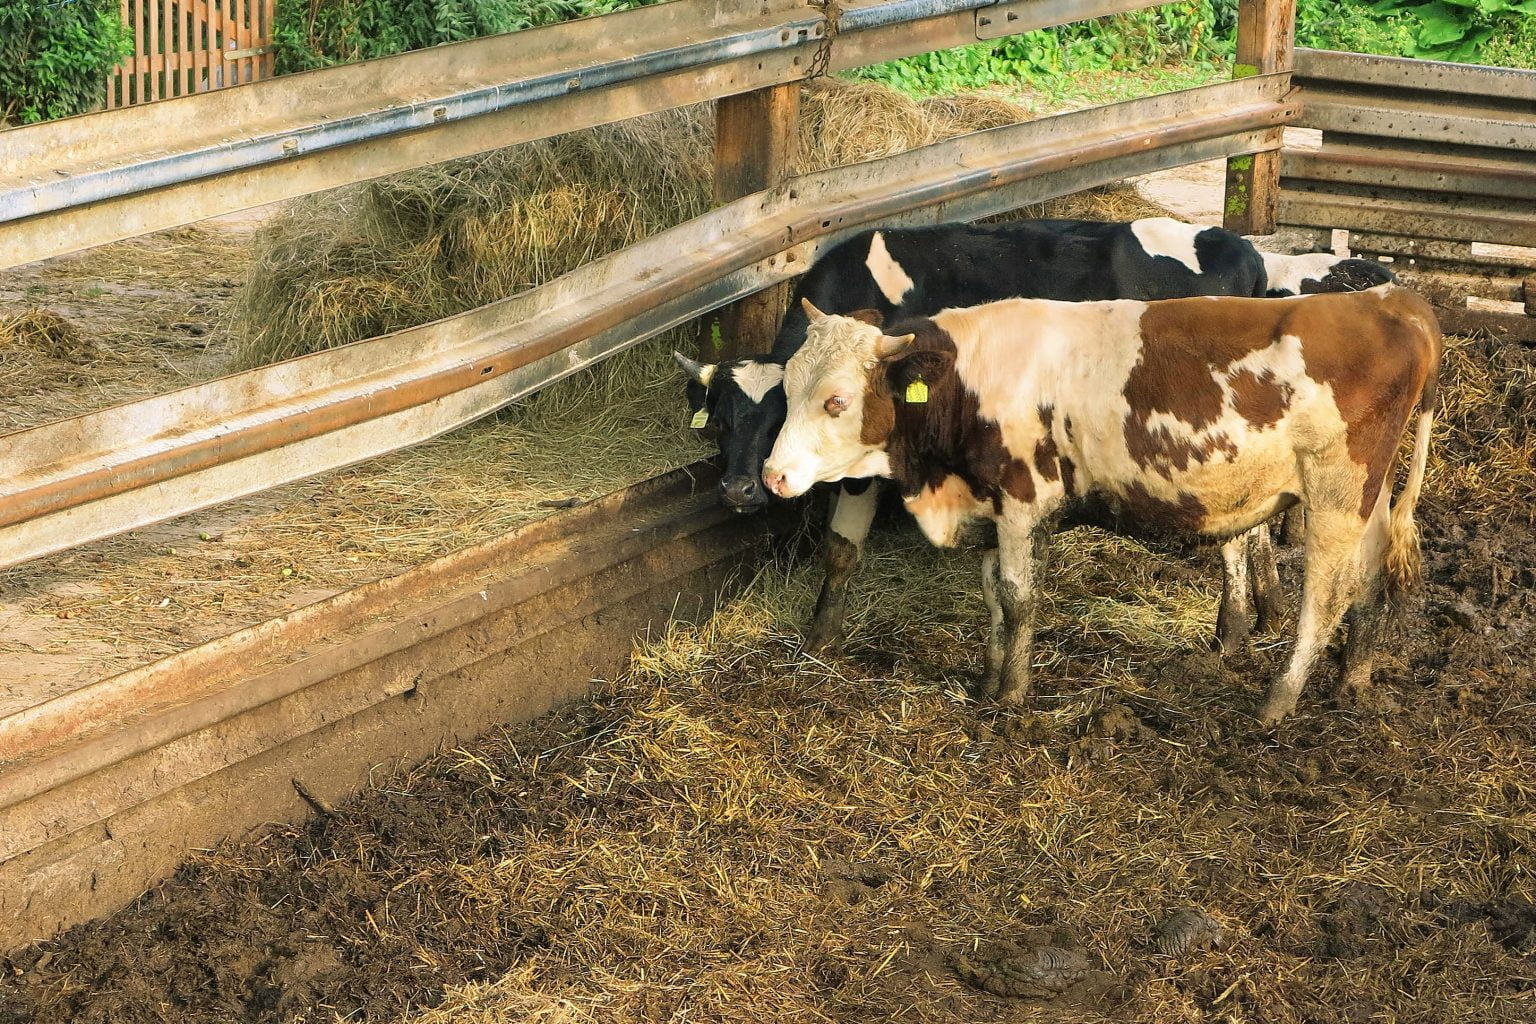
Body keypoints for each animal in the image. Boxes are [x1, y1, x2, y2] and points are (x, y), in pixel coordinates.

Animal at [676, 216, 1276, 653]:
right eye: (722, 422)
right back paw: (1265, 609)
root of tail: (1239, 248)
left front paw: (822, 636)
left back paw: (1231, 631)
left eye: (781, 416)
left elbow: (843, 543)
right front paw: (820, 638)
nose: (739, 489)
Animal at [762, 287, 1440, 724]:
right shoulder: (997, 506)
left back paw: (1278, 700)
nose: (774, 475)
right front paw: (987, 677)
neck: (968, 381)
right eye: (787, 388)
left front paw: (1011, 694)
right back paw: (1353, 679)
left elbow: (1018, 597)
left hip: (1335, 492)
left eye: (837, 401)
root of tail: (1387, 300)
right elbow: (993, 594)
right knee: (1370, 576)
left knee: (1325, 593)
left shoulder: (1021, 498)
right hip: (1369, 495)